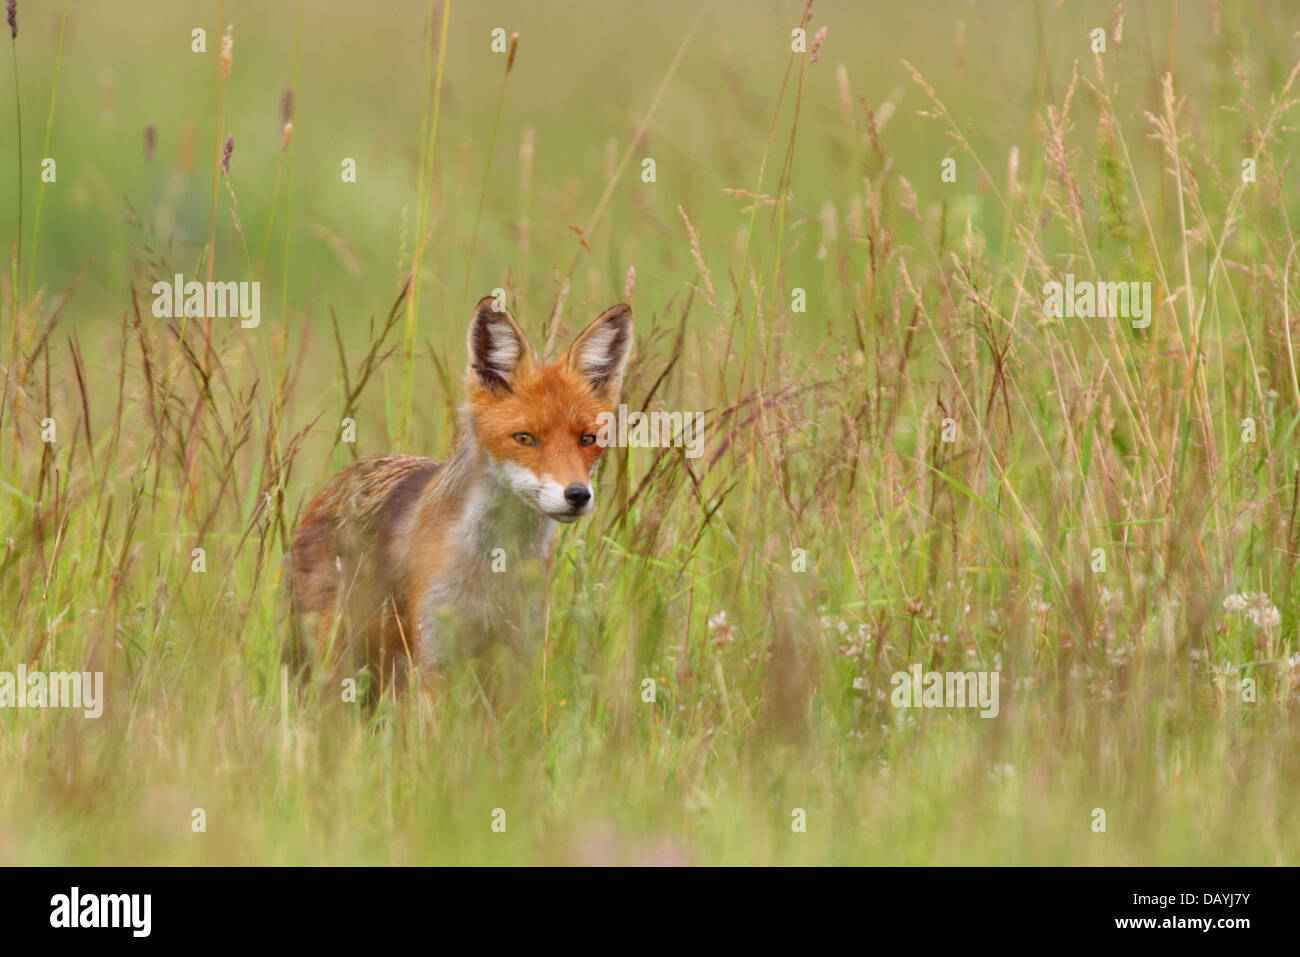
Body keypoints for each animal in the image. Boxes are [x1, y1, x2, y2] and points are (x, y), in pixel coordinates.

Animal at [288, 295, 633, 687]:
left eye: (588, 439)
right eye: (525, 438)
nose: (577, 495)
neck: (495, 568)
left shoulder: (520, 655)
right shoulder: (434, 654)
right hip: (338, 659)